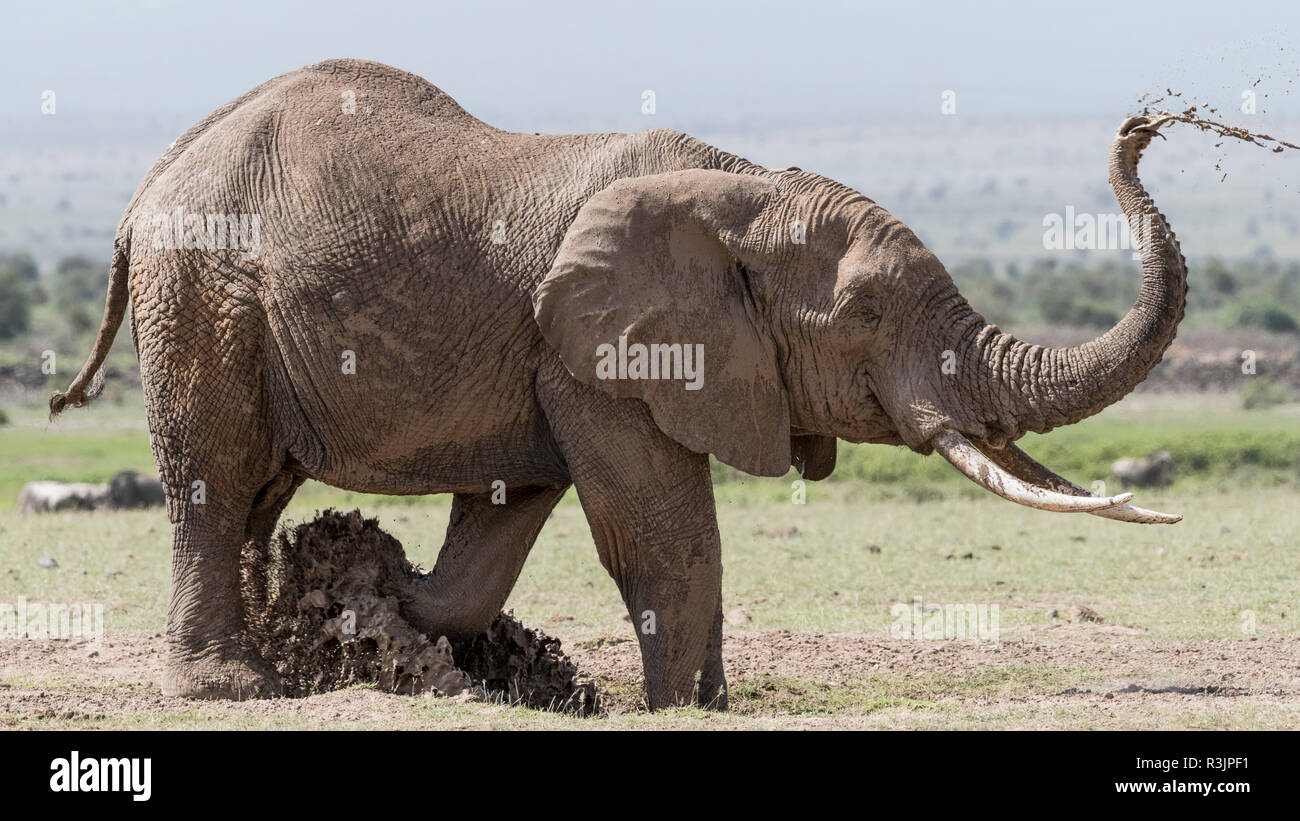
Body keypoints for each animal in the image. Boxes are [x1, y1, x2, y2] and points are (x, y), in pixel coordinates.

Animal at [50, 59, 1186, 708]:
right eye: (865, 313)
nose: (1144, 129)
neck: (742, 188)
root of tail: (150, 182)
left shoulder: (560, 361)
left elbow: (501, 521)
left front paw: (380, 598)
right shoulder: (594, 355)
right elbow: (662, 527)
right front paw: (681, 708)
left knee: (257, 490)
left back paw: (284, 646)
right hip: (202, 295)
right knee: (214, 480)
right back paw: (230, 688)